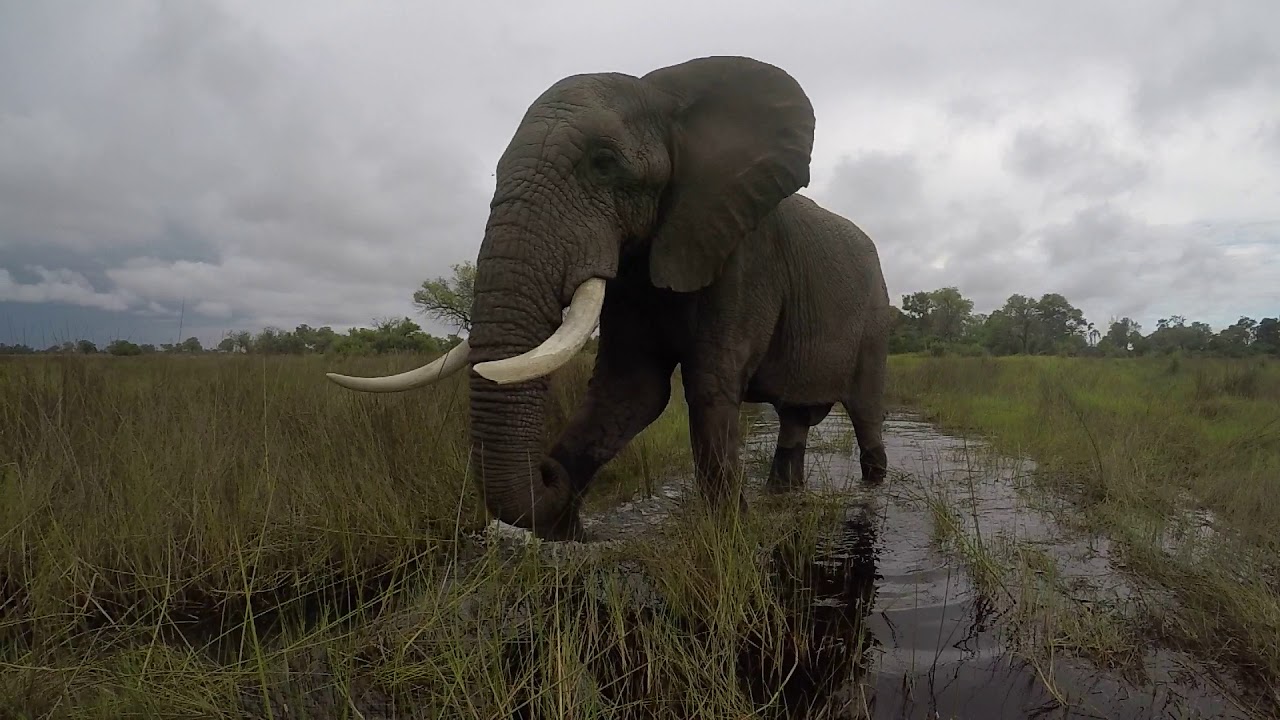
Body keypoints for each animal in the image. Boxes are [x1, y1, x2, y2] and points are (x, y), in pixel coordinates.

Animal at [325, 55, 891, 542]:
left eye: (603, 163)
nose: (546, 469)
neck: (670, 98)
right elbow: (631, 389)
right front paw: (566, 530)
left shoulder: (743, 254)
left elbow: (709, 387)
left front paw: (729, 536)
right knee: (794, 418)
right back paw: (783, 494)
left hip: (875, 313)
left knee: (865, 410)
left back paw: (873, 487)